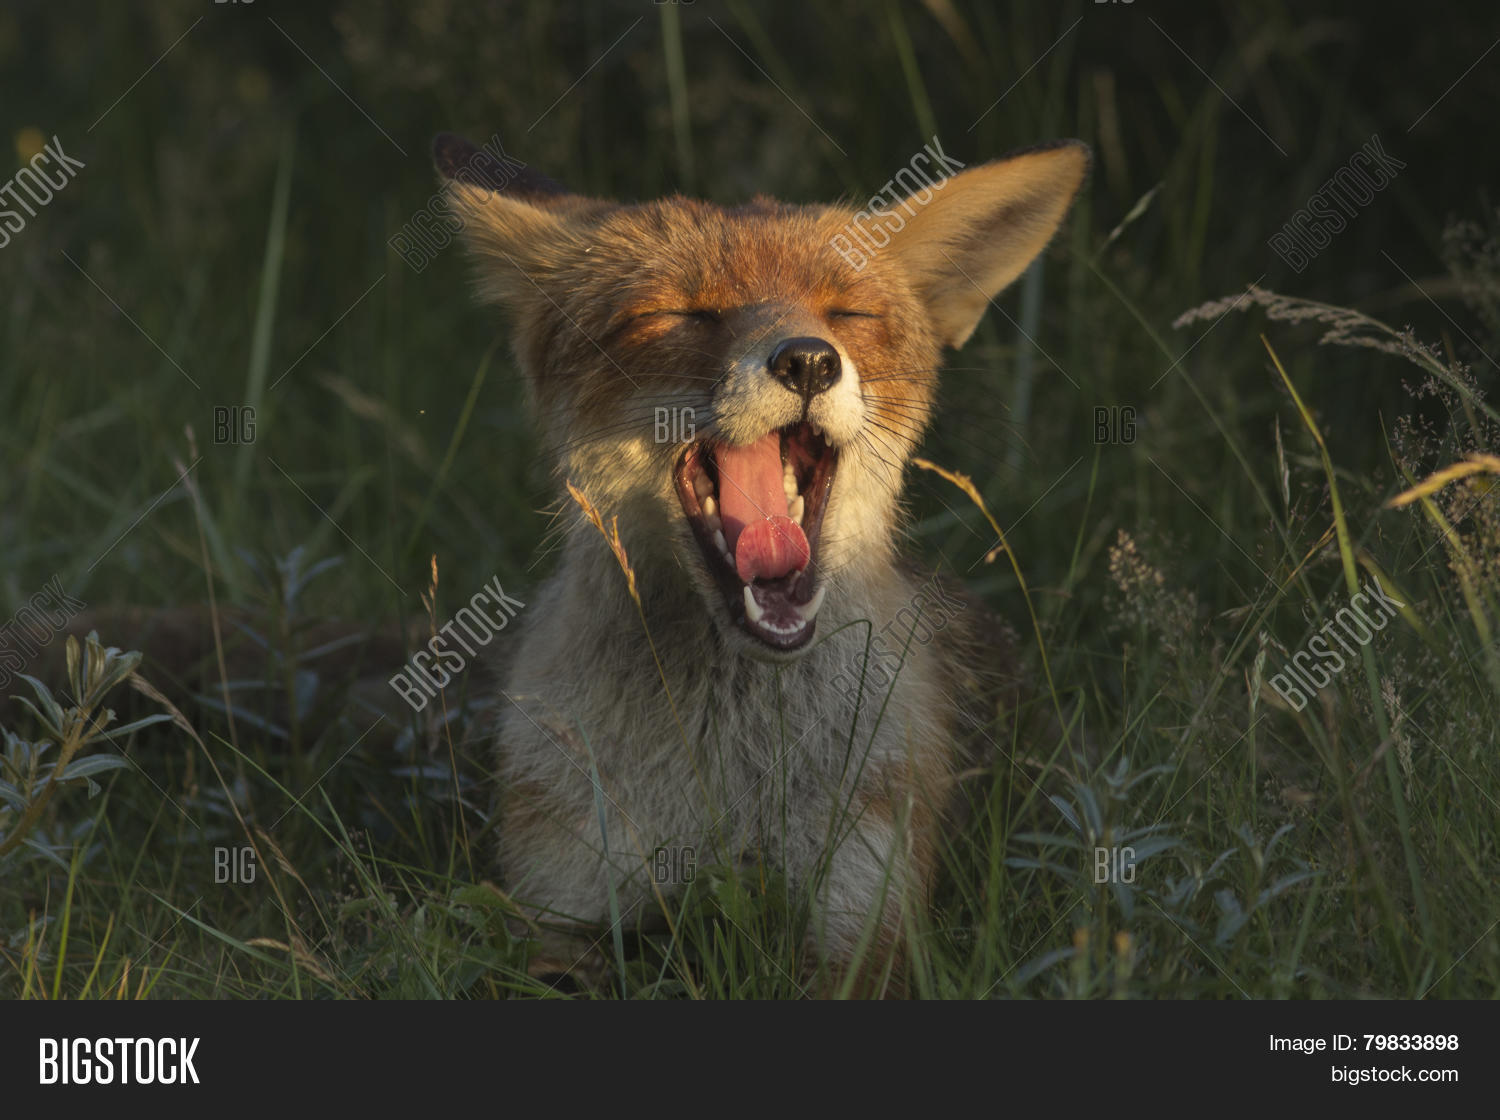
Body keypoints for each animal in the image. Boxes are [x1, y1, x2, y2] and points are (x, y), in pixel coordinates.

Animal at [434, 130, 1089, 995]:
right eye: (683, 312)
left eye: (847, 313)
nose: (809, 360)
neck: (726, 776)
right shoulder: (556, 908)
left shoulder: (867, 913)